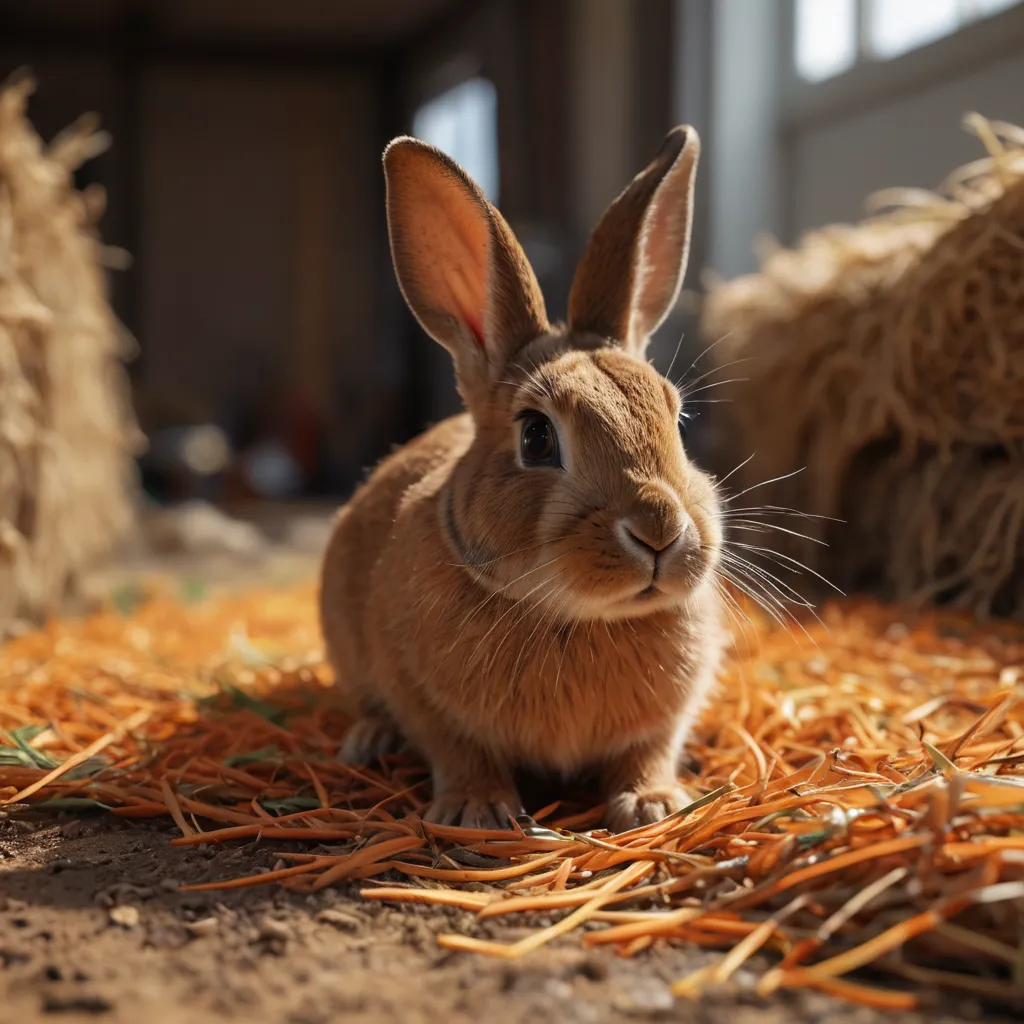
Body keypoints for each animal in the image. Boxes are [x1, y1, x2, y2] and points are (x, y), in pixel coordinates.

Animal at [319, 124, 724, 833]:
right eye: (537, 437)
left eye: (676, 417)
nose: (658, 530)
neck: (577, 617)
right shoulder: (419, 692)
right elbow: (457, 747)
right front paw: (478, 810)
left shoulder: (667, 717)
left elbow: (649, 749)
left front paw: (652, 803)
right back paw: (368, 742)